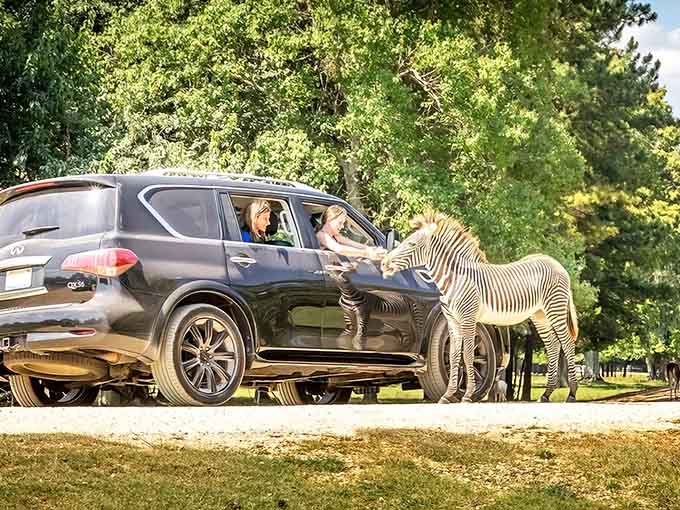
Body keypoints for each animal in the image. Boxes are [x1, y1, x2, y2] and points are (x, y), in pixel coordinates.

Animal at [380, 212, 579, 403]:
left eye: (411, 244)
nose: (383, 264)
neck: (455, 279)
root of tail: (555, 262)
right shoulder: (452, 322)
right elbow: (454, 356)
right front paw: (447, 395)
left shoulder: (468, 319)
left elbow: (468, 355)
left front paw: (467, 395)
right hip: (540, 315)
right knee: (553, 345)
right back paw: (546, 394)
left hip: (555, 309)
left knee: (567, 343)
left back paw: (572, 393)